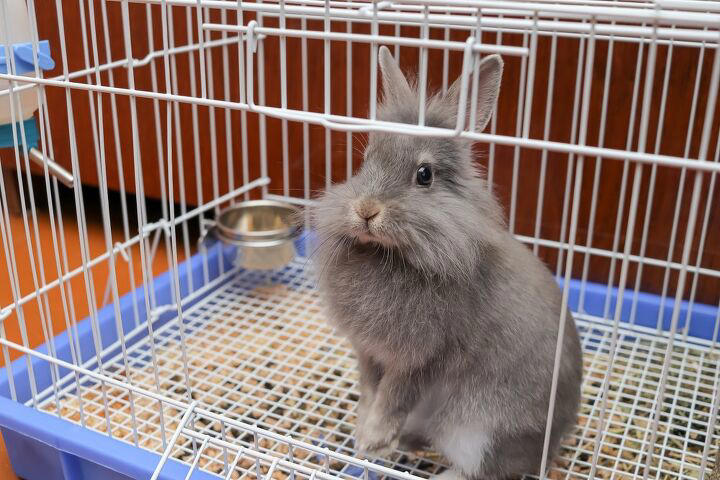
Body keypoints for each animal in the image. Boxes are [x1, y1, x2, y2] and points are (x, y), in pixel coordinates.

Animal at [310, 46, 583, 480]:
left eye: (424, 175)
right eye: (366, 160)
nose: (366, 210)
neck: (391, 255)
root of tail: (551, 444)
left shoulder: (423, 358)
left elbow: (393, 397)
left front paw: (372, 439)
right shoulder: (368, 351)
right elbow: (370, 390)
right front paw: (362, 433)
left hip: (479, 431)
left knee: (484, 470)